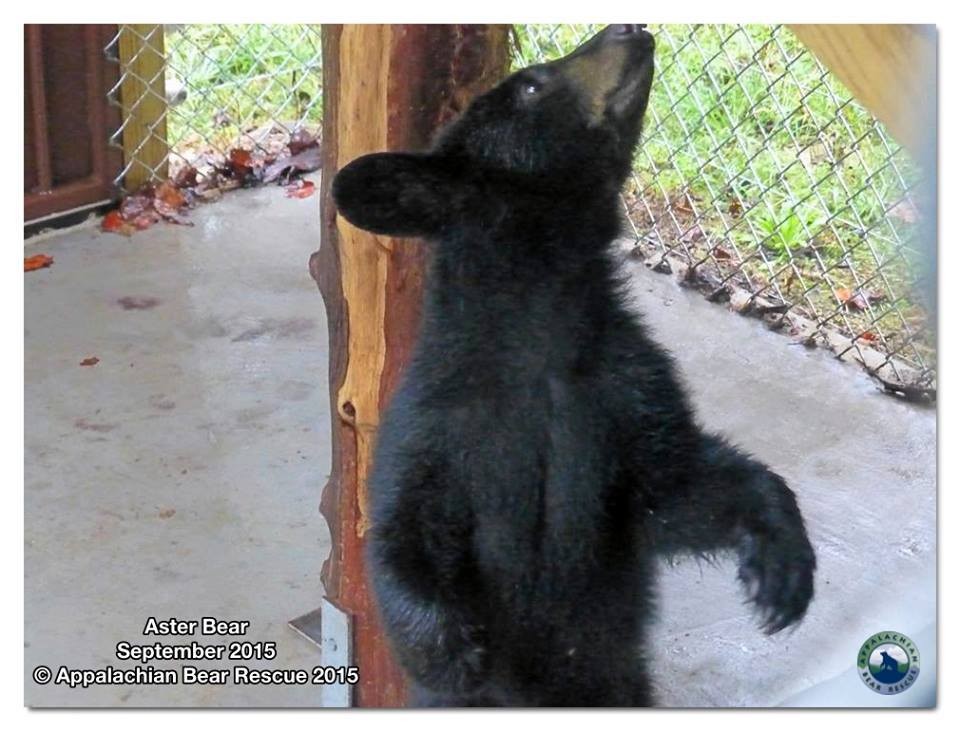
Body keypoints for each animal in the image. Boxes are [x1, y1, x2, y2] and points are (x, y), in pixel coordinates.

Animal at [331, 24, 816, 707]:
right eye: (532, 84)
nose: (630, 28)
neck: (543, 328)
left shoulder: (626, 391)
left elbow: (680, 489)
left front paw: (781, 568)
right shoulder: (440, 415)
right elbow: (404, 527)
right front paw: (452, 652)